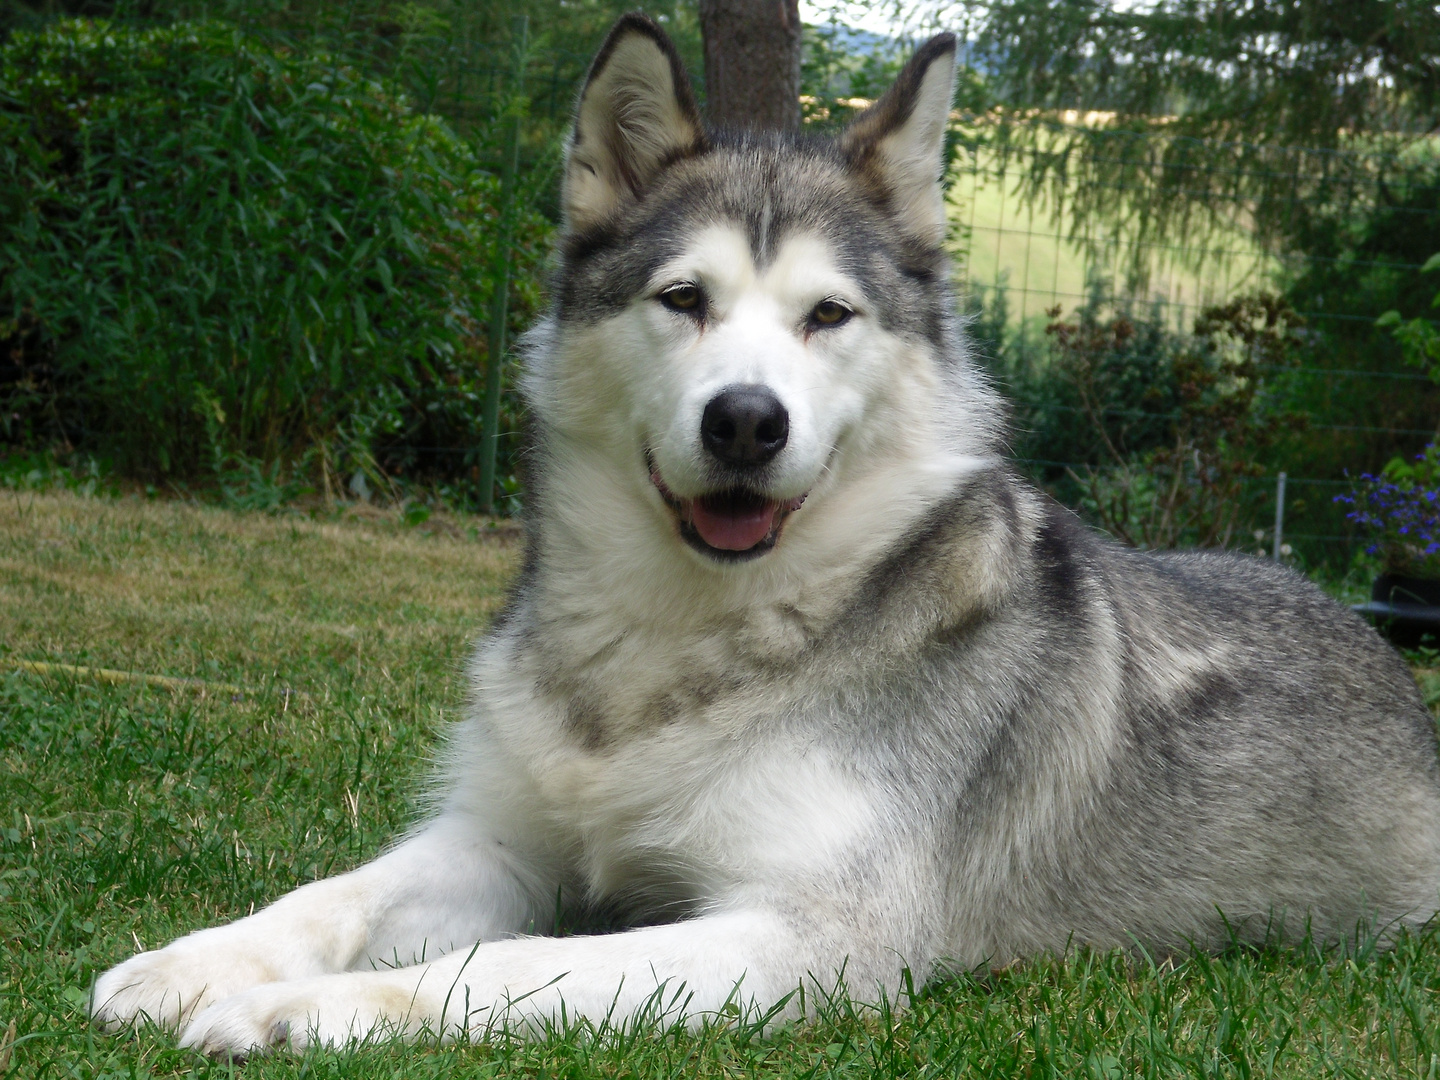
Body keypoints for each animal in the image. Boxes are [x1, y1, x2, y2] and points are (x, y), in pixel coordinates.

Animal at [92, 14, 1440, 1055]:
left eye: (827, 315)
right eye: (682, 299)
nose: (746, 419)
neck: (673, 642)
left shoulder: (809, 939)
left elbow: (507, 968)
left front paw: (315, 1011)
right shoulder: (500, 840)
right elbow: (333, 894)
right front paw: (195, 963)